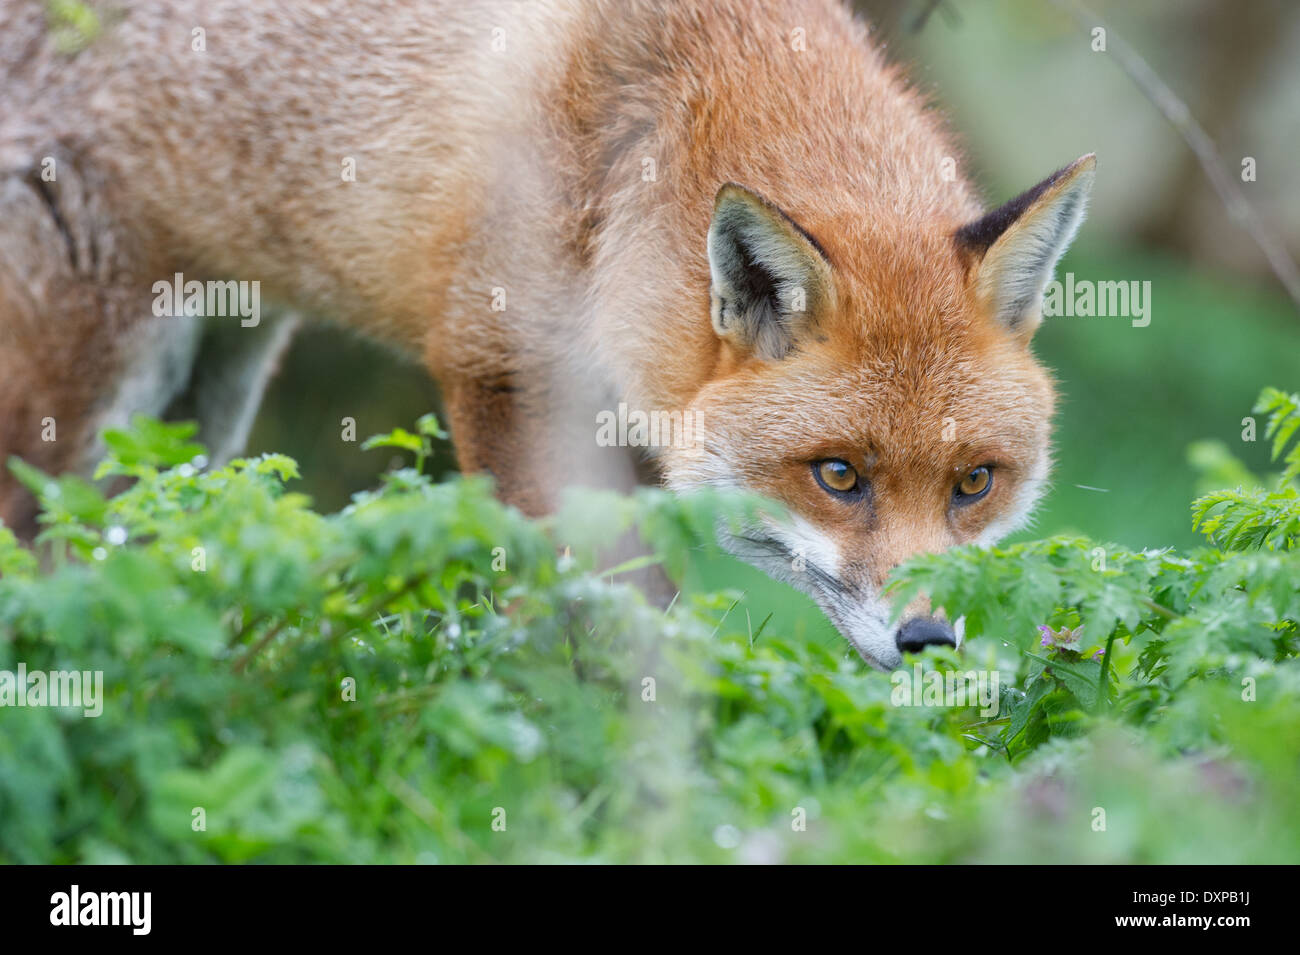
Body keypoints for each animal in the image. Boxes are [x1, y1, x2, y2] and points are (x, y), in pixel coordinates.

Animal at [0, 0, 1093, 669]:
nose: (929, 638)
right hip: (77, 407)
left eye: (973, 483)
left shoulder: (636, 418)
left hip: (199, 407)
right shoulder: (504, 372)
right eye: (838, 476)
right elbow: (571, 607)